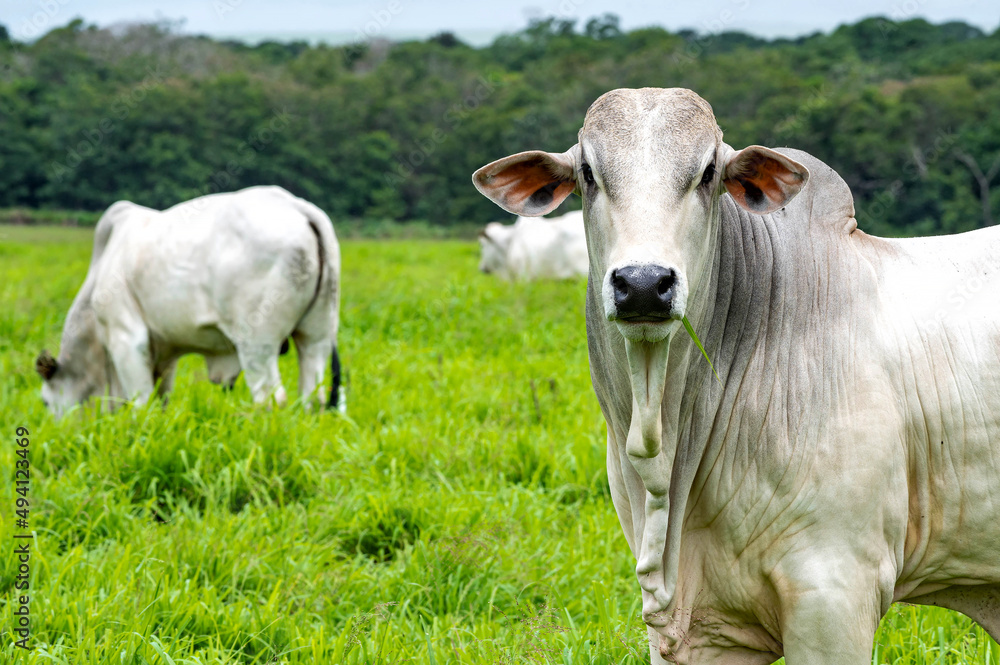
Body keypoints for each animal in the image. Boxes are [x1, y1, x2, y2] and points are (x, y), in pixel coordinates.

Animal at [36, 186, 342, 417]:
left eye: (45, 402)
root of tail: (298, 206)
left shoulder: (127, 338)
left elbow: (141, 403)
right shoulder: (164, 352)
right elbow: (160, 400)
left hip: (257, 344)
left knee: (270, 399)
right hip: (316, 337)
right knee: (312, 397)